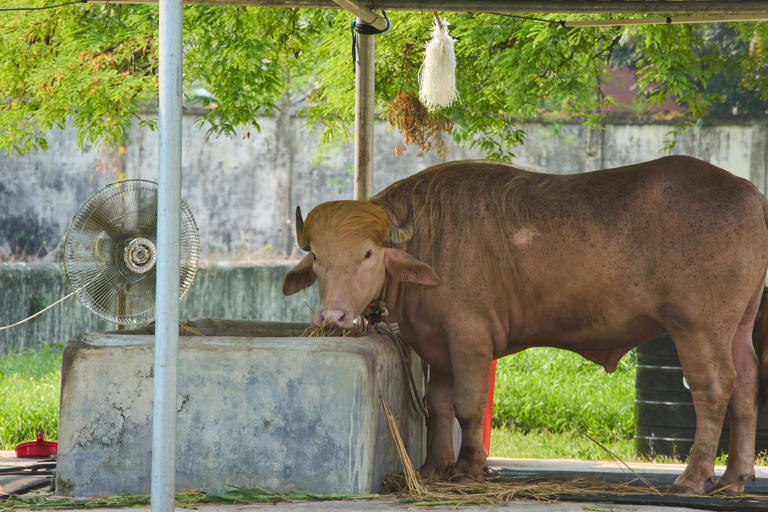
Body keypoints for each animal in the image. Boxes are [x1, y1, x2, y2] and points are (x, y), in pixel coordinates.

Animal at [283, 156, 768, 495]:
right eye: (318, 258)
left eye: (367, 254)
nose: (333, 317)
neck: (432, 239)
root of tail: (749, 192)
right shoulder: (437, 346)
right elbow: (439, 406)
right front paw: (435, 468)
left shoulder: (469, 338)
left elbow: (468, 406)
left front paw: (470, 468)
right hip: (739, 326)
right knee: (746, 384)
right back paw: (734, 478)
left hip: (698, 327)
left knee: (714, 389)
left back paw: (694, 477)